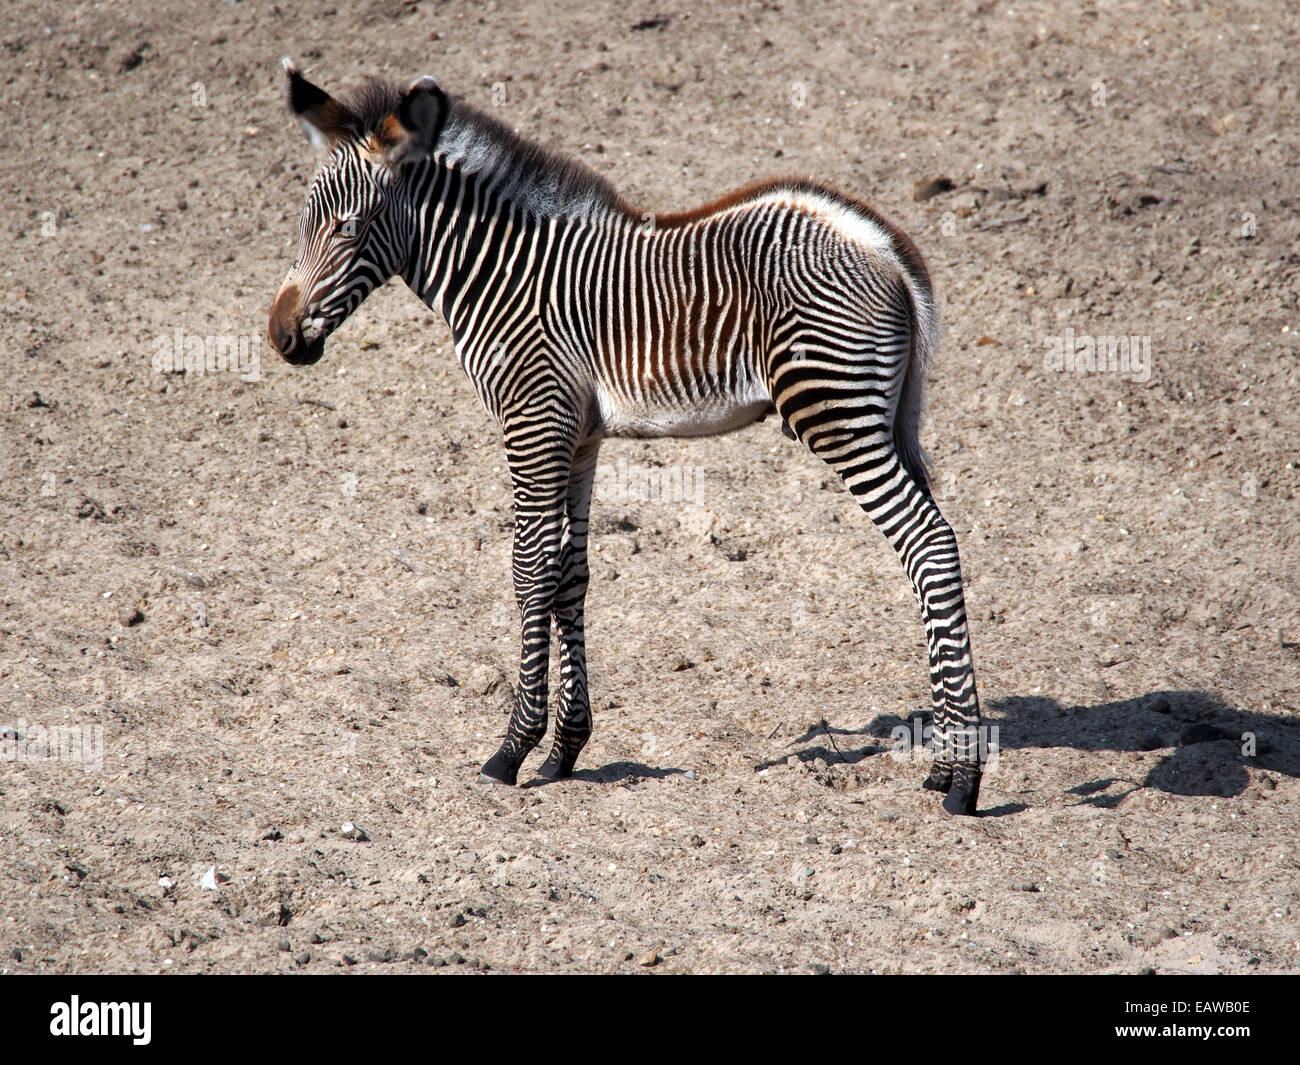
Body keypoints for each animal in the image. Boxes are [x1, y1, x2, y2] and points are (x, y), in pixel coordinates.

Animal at [267, 60, 986, 815]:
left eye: (348, 227)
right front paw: (564, 749)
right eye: (304, 221)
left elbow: (528, 573)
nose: (281, 337)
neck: (503, 277)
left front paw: (512, 749)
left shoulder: (533, 421)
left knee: (930, 545)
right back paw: (941, 766)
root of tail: (883, 244)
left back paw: (964, 780)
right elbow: (569, 576)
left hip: (835, 411)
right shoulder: (578, 436)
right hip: (872, 414)